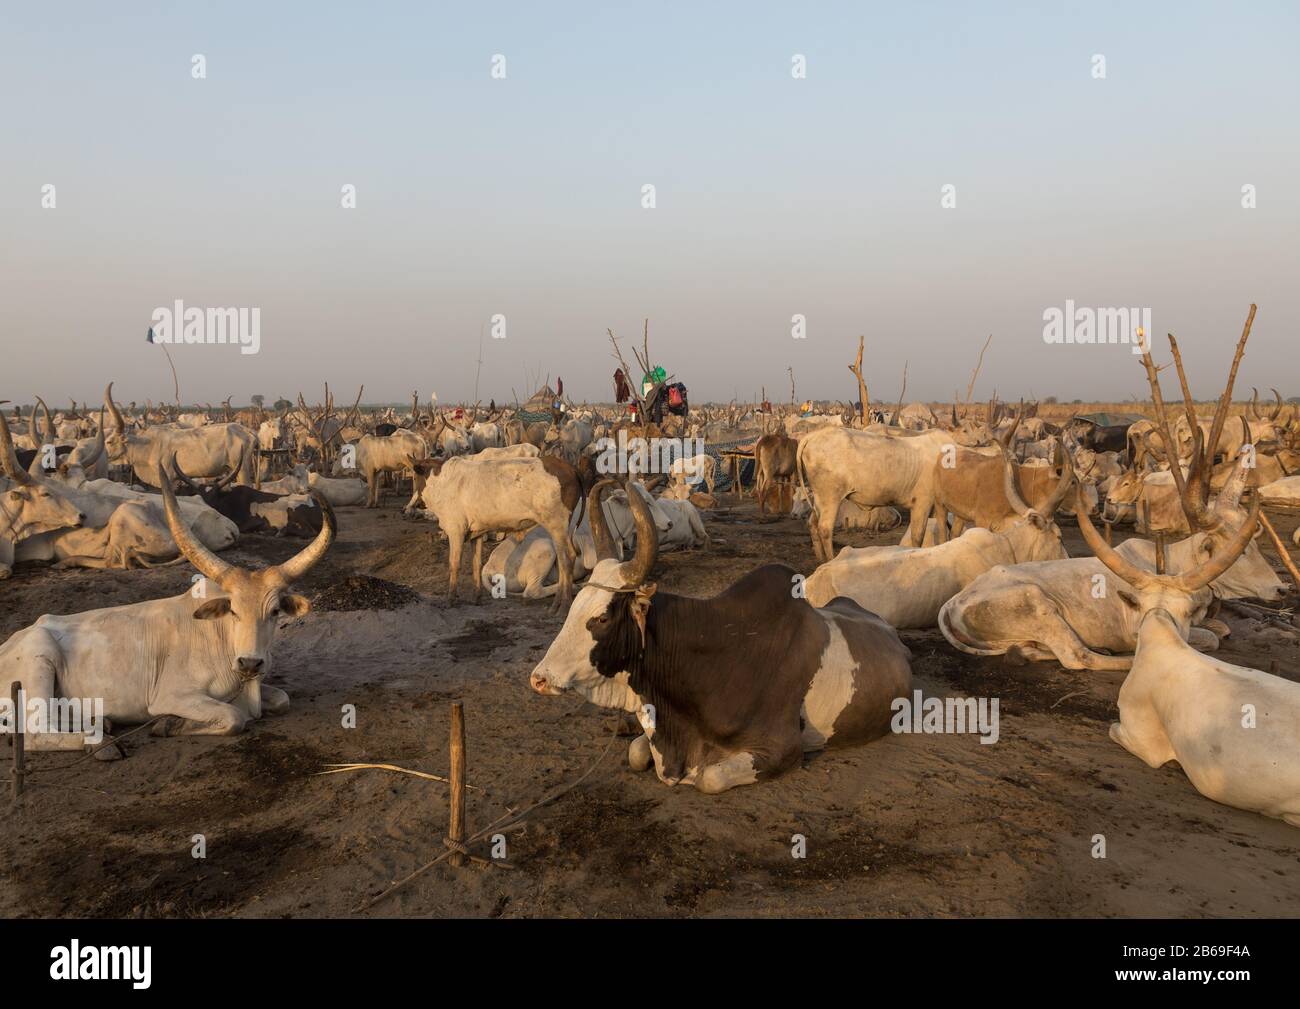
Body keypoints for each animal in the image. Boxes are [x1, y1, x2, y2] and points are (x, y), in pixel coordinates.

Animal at [527, 480, 913, 793]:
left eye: (603, 617)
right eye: (576, 605)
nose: (539, 678)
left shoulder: (783, 748)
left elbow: (709, 778)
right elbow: (636, 752)